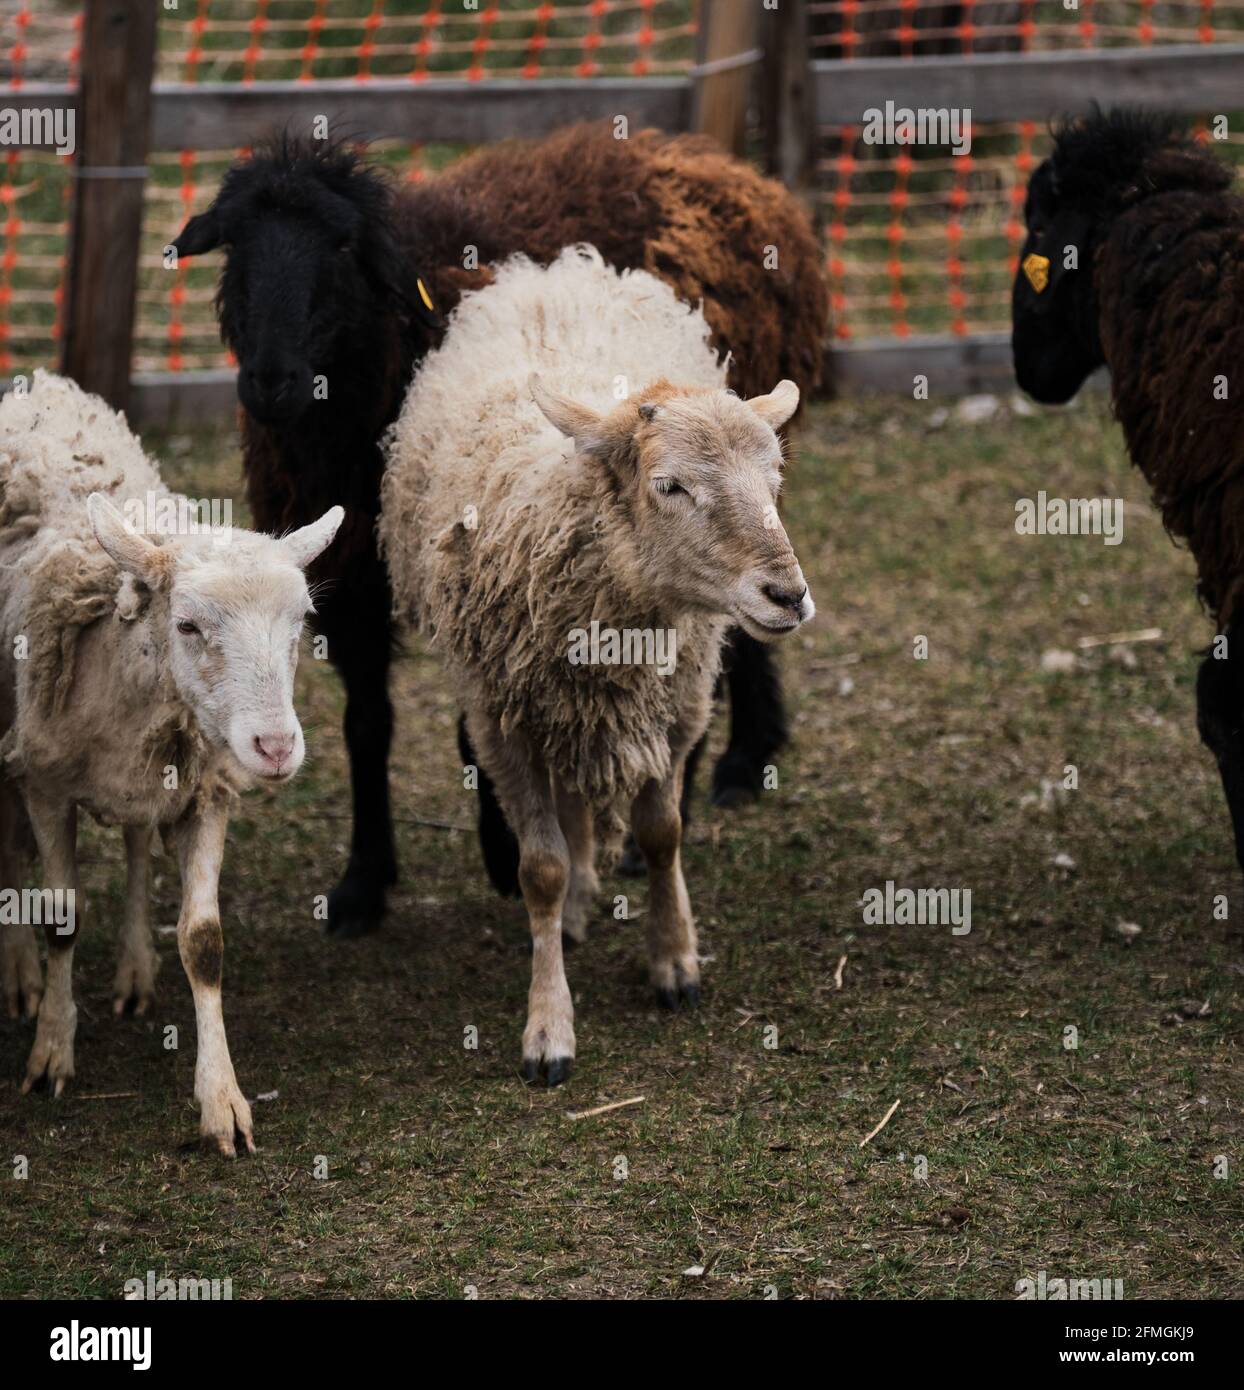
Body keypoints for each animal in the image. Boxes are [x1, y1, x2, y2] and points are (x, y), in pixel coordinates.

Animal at [0, 370, 342, 1154]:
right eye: (186, 625)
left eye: (301, 623)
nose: (276, 747)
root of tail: (41, 385)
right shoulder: (44, 784)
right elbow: (59, 916)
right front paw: (51, 1051)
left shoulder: (204, 790)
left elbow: (204, 941)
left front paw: (222, 1101)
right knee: (11, 852)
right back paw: (22, 979)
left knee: (132, 845)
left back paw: (134, 969)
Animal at [171, 121, 830, 936]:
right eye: (233, 243)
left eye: (343, 246)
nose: (269, 379)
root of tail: (736, 172)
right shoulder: (360, 571)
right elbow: (367, 725)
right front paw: (363, 883)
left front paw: (500, 846)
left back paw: (722, 773)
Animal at [379, 247, 814, 1083]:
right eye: (670, 485)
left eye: (776, 483)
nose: (789, 594)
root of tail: (559, 266)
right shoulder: (501, 722)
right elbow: (539, 870)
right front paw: (548, 1027)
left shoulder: (674, 707)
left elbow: (663, 832)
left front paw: (675, 962)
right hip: (541, 704)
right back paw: (575, 904)